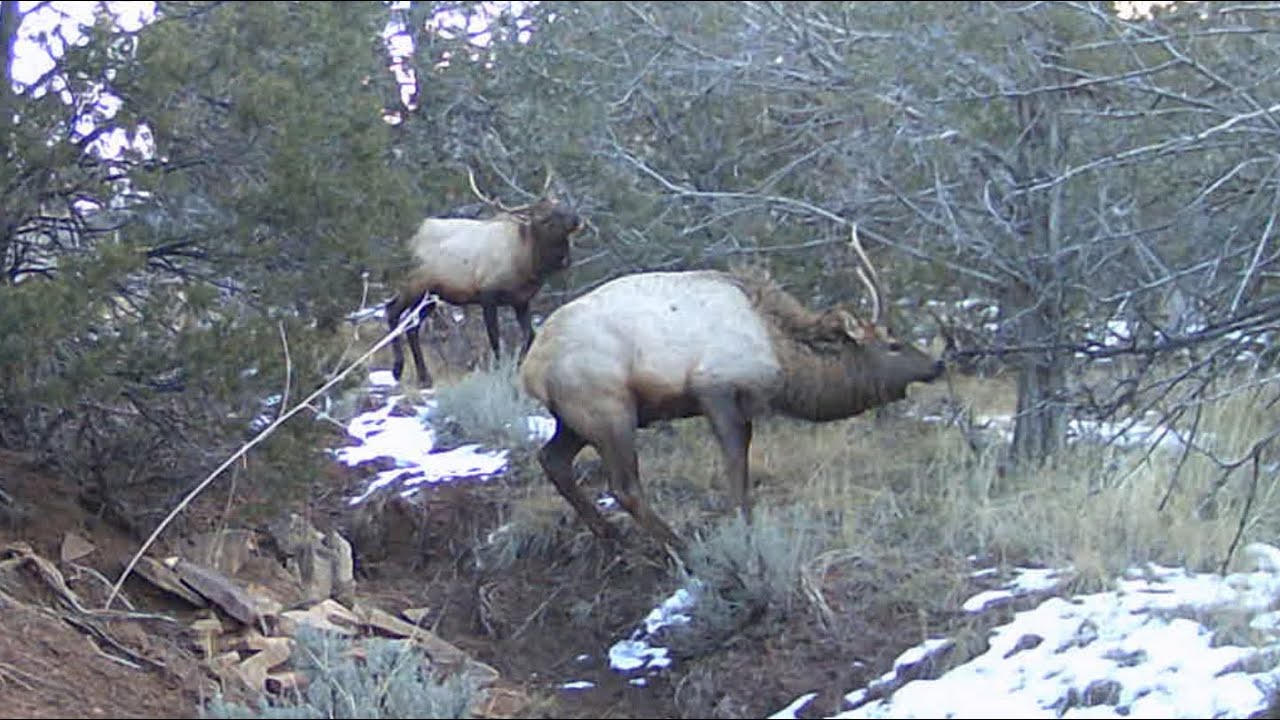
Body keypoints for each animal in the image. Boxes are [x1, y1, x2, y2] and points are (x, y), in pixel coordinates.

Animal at [386, 168, 584, 387]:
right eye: (545, 219)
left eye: (560, 204)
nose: (577, 220)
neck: (528, 263)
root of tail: (403, 243)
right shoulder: (487, 295)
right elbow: (495, 338)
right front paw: (500, 371)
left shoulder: (521, 300)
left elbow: (530, 336)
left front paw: (518, 365)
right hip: (413, 285)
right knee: (392, 311)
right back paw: (397, 369)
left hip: (430, 296)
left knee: (411, 327)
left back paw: (424, 377)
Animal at [518, 227, 946, 551]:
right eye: (893, 344)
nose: (937, 364)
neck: (780, 357)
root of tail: (530, 369)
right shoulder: (715, 388)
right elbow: (736, 464)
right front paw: (742, 527)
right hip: (608, 409)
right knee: (624, 486)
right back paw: (678, 548)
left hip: (574, 419)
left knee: (552, 459)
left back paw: (610, 535)